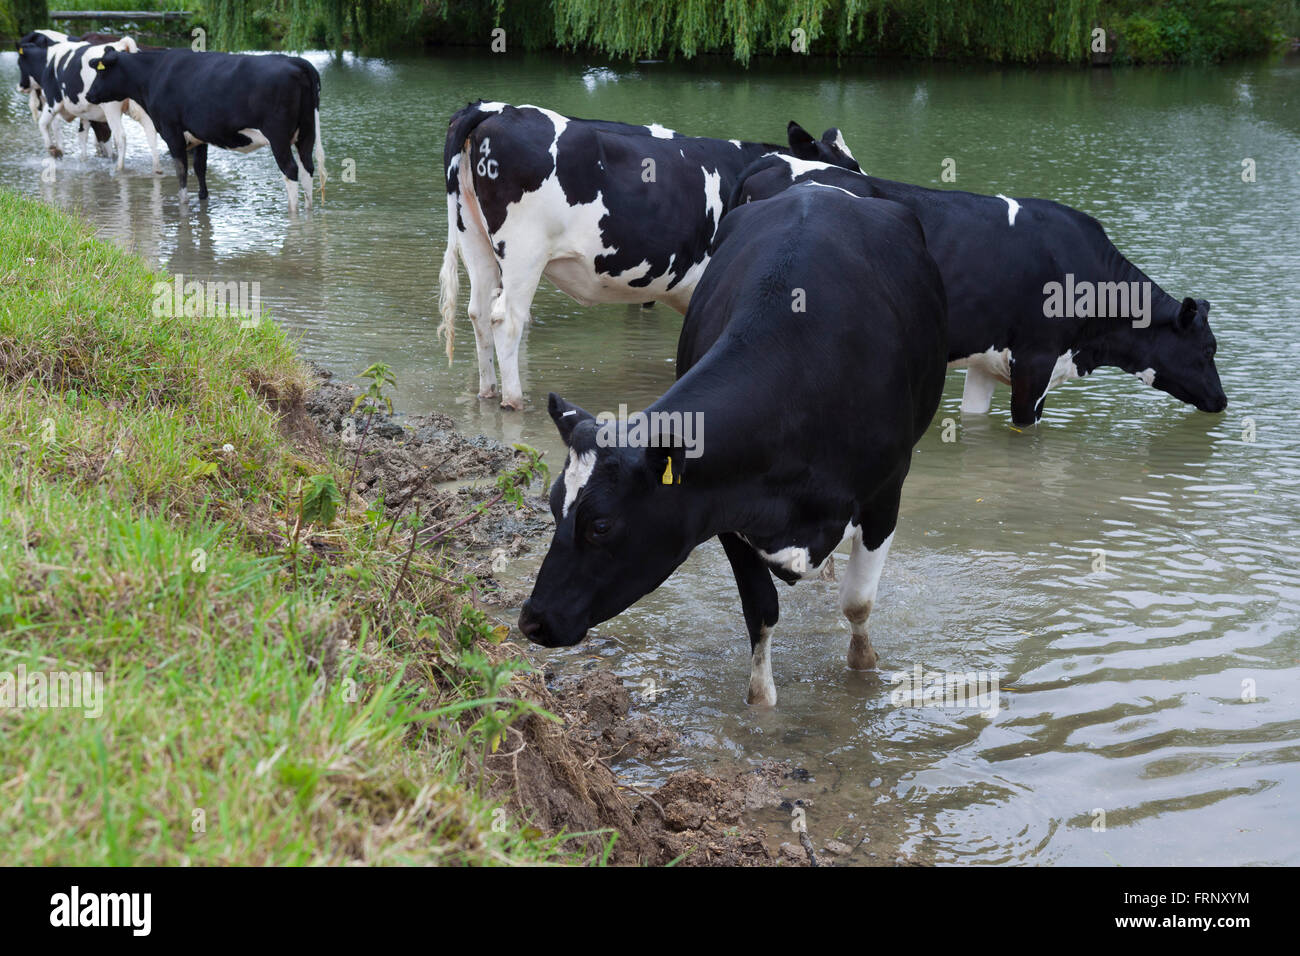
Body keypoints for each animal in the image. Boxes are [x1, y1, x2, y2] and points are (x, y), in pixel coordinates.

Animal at [27, 36, 162, 173]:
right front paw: (82, 160)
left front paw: (54, 150)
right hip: (142, 108)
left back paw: (119, 168)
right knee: (151, 133)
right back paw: (156, 169)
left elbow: (44, 124)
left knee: (121, 136)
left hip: (111, 108)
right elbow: (82, 136)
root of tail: (122, 44)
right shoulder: (87, 113)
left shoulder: (53, 100)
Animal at [85, 47, 326, 214]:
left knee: (290, 170)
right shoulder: (200, 137)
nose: (88, 95)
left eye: (101, 73)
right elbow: (200, 169)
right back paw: (308, 209)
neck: (153, 74)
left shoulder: (172, 132)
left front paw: (183, 203)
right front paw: (202, 198)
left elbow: (181, 171)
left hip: (278, 137)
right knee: (307, 169)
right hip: (307, 134)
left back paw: (293, 212)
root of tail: (296, 61)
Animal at [437, 101, 860, 410]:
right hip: (524, 252)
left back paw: (488, 391)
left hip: (474, 240)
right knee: (505, 320)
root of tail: (494, 110)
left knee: (478, 313)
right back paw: (514, 400)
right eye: (847, 170)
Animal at [517, 184, 948, 707]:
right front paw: (760, 705)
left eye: (600, 525)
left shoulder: (886, 494)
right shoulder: (725, 510)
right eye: (553, 505)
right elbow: (760, 612)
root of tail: (818, 187)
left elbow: (858, 604)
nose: (531, 620)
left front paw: (863, 669)